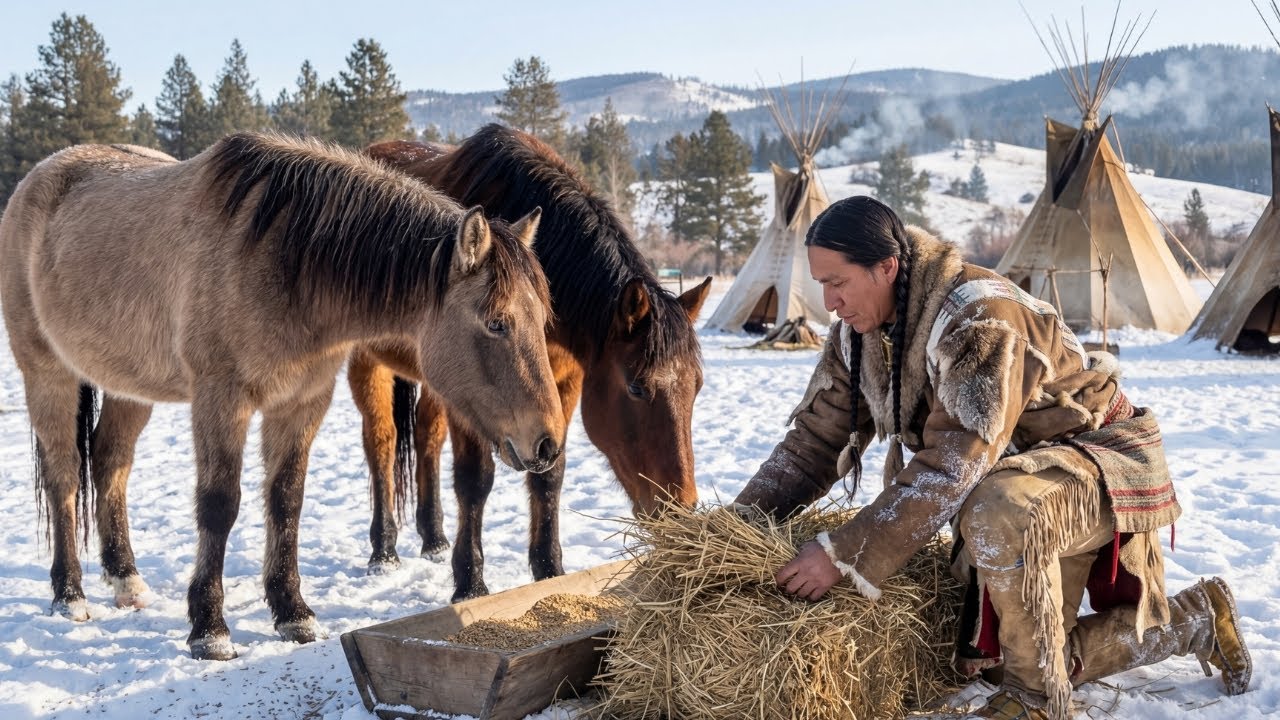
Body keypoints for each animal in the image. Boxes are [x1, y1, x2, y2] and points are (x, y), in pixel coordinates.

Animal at [0, 133, 564, 659]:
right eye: (496, 322)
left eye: (542, 319)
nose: (547, 444)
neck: (283, 263)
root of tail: (37, 180)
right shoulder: (222, 400)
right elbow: (219, 504)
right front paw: (210, 630)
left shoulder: (301, 402)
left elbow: (286, 500)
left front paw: (293, 613)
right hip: (48, 374)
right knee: (64, 475)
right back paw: (69, 594)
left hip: (129, 387)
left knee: (110, 462)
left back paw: (125, 579)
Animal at [357, 124, 711, 601]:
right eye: (637, 386)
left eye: (697, 387)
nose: (680, 509)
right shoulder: (473, 395)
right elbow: (475, 480)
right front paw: (470, 583)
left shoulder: (564, 384)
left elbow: (549, 474)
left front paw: (549, 568)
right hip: (366, 364)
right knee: (381, 441)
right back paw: (384, 549)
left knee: (427, 436)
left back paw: (433, 538)